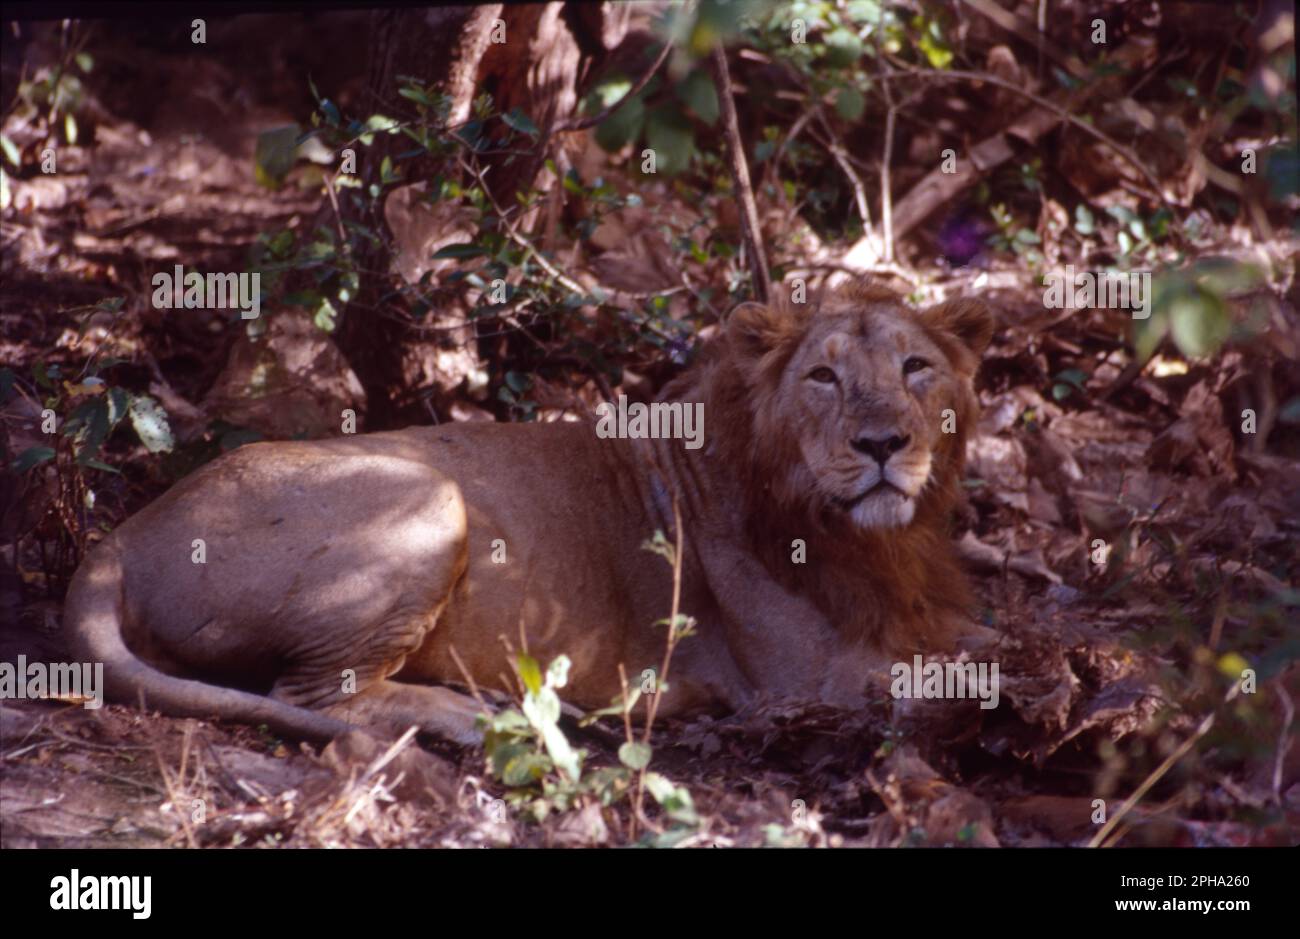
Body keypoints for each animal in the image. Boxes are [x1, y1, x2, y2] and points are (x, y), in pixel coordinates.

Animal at [63, 280, 993, 745]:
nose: (883, 442)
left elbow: (993, 637)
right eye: (823, 377)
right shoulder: (810, 677)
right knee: (317, 693)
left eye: (915, 366)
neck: (881, 544)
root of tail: (122, 534)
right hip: (428, 496)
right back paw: (478, 716)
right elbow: (971, 673)